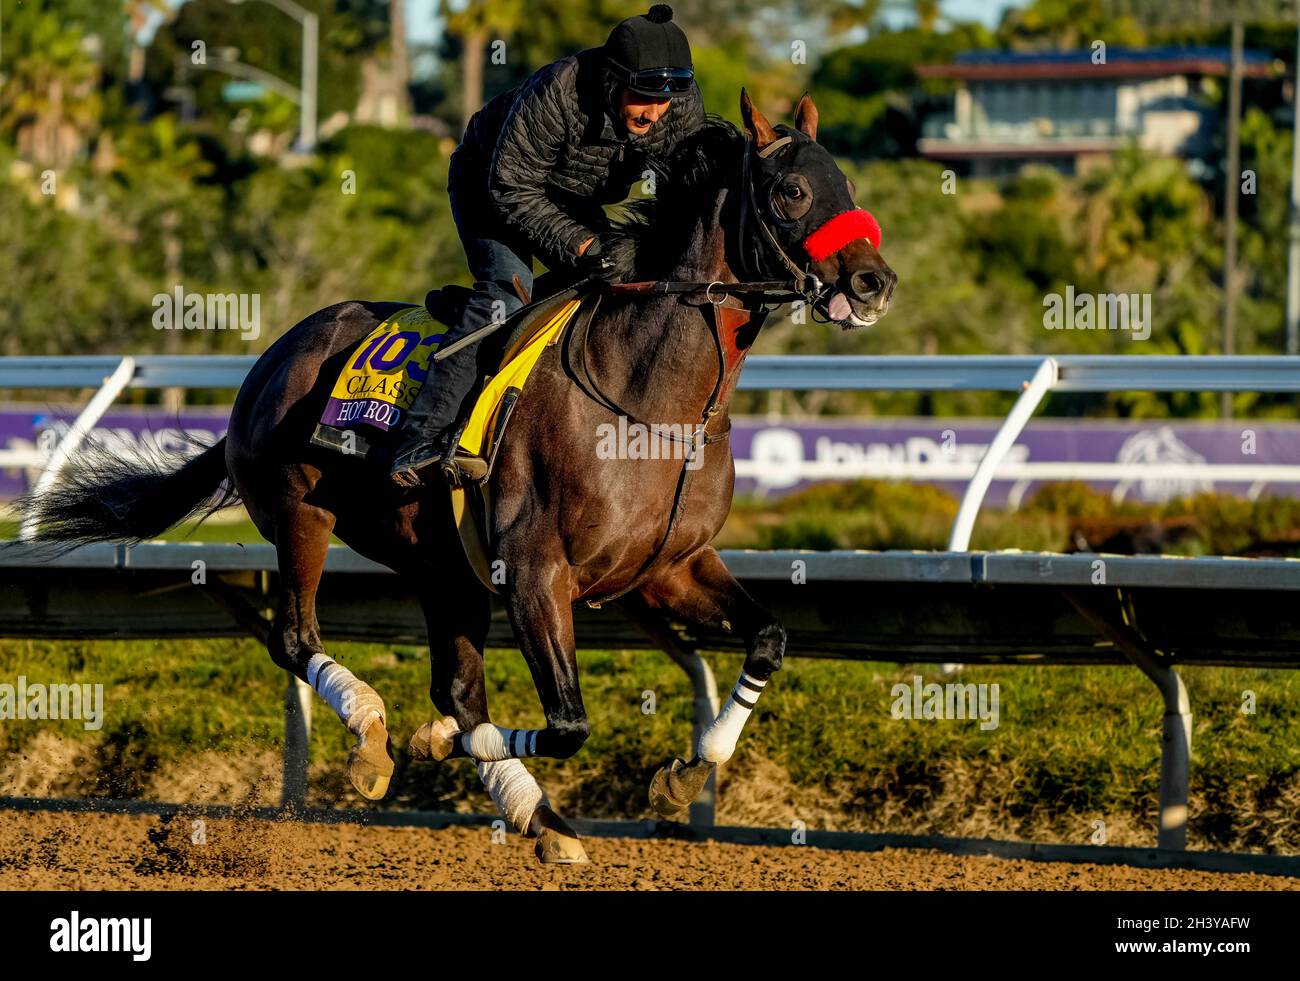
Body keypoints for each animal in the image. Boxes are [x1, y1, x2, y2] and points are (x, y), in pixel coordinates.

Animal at [15, 91, 896, 864]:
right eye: (792, 190)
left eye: (850, 188)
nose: (873, 282)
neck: (650, 402)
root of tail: (270, 360)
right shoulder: (537, 571)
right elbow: (568, 721)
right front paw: (426, 740)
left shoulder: (667, 568)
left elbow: (768, 638)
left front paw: (684, 772)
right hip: (302, 512)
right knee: (297, 637)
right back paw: (374, 731)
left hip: (443, 564)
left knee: (456, 685)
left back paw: (541, 817)